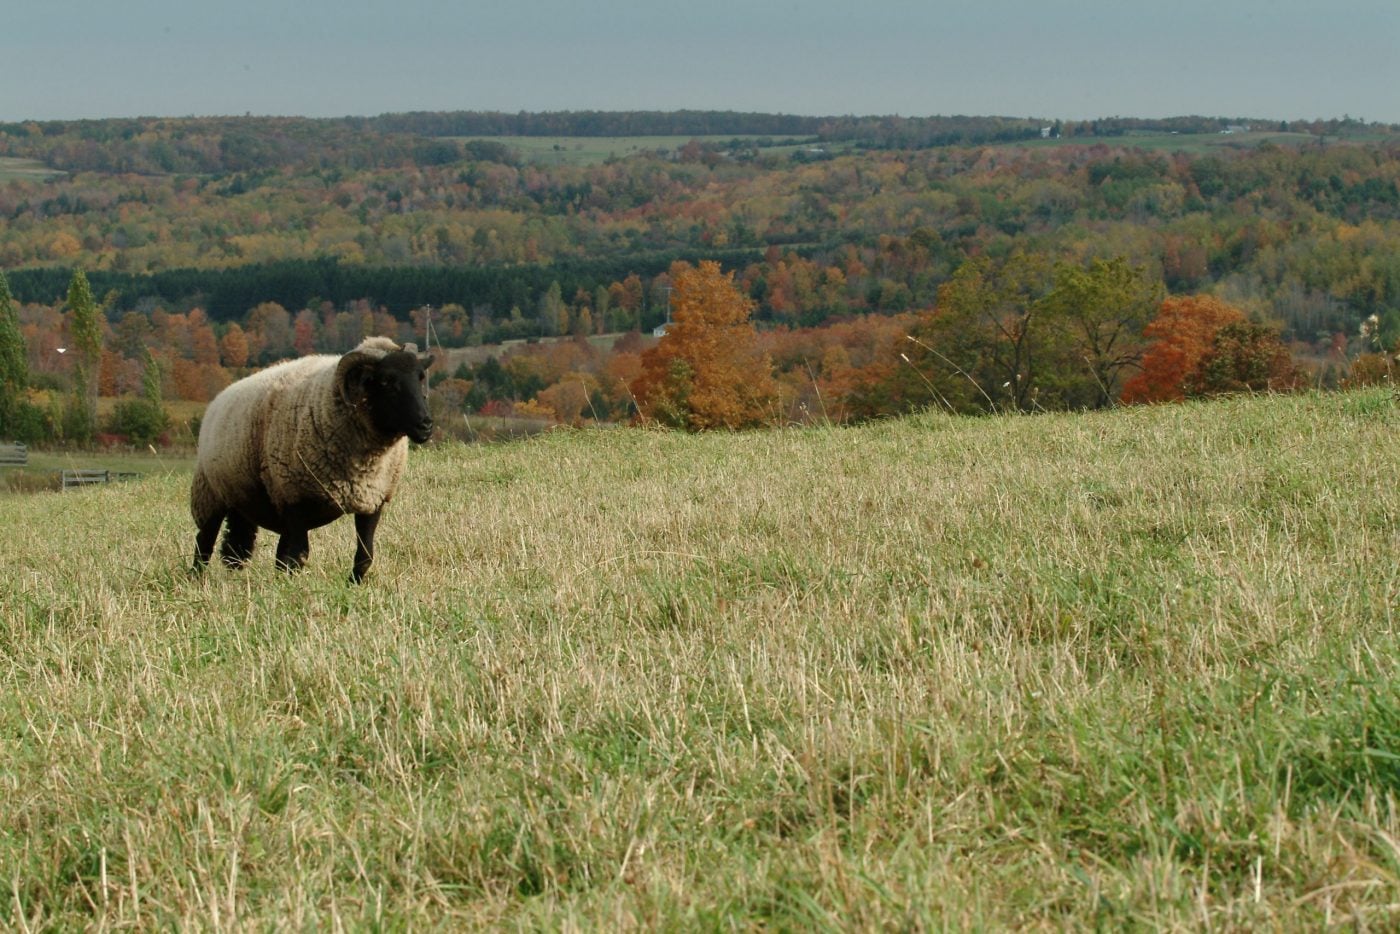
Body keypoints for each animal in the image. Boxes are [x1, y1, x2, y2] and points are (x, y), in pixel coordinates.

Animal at [191, 336, 434, 582]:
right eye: (385, 381)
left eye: (421, 377)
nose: (425, 425)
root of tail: (219, 399)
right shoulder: (295, 498)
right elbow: (299, 555)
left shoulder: (372, 500)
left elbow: (365, 556)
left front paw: (352, 584)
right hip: (210, 496)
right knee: (204, 542)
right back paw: (196, 578)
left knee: (279, 554)